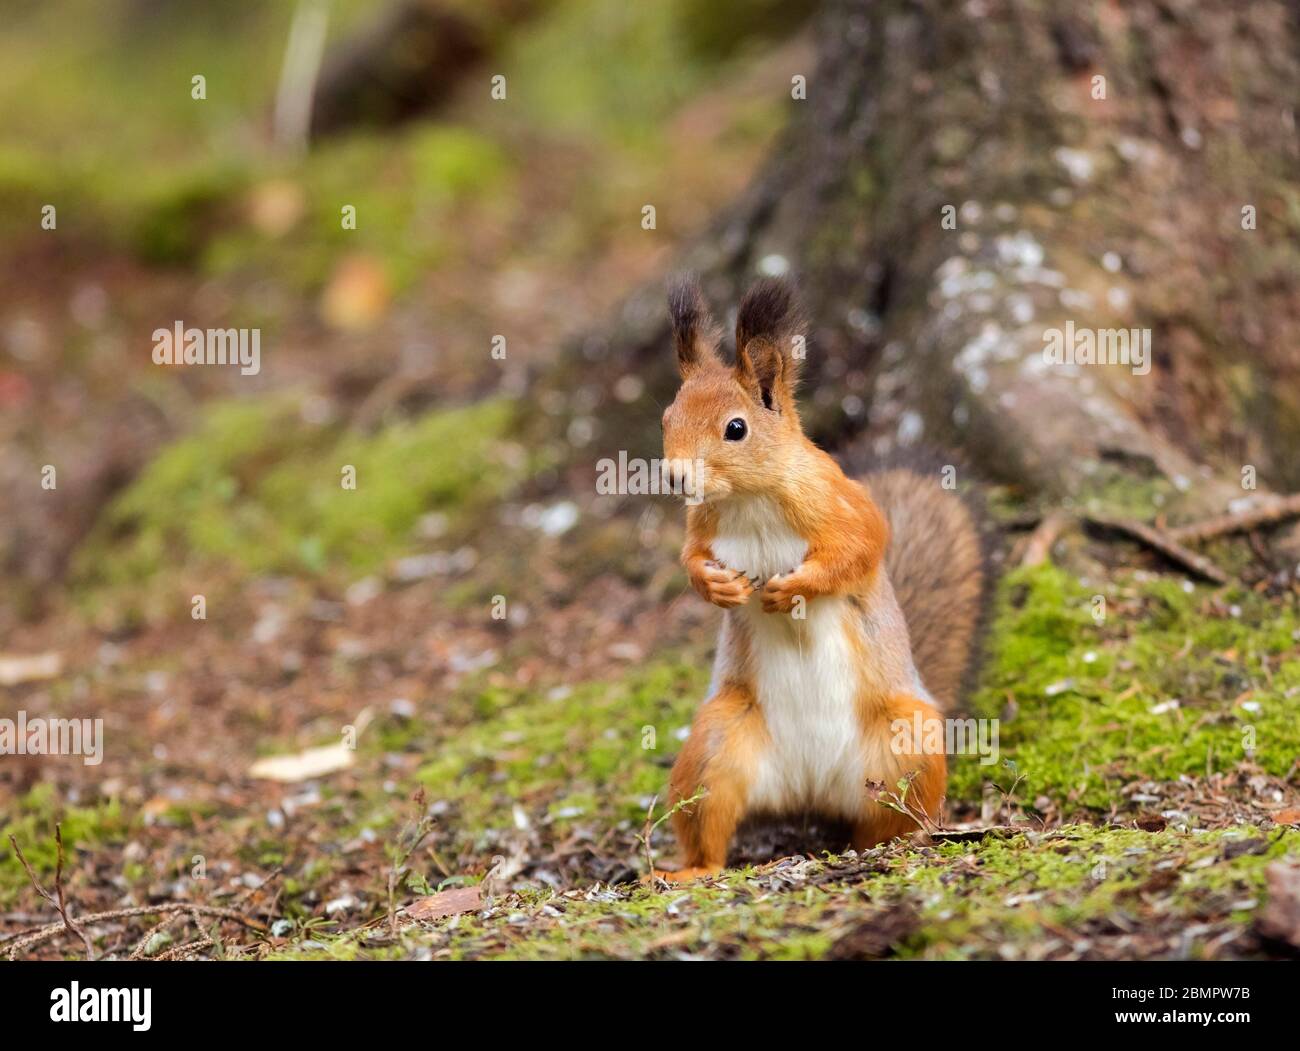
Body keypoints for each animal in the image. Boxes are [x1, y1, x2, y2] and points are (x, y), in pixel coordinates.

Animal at [654, 275, 986, 882]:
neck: (750, 498)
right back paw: (688, 870)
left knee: (895, 821)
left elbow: (860, 548)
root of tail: (811, 787)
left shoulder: (843, 503)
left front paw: (793, 589)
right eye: (667, 417)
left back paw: (901, 842)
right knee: (708, 826)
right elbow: (691, 560)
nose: (675, 477)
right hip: (715, 746)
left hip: (909, 743)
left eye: (735, 428)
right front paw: (719, 588)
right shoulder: (701, 527)